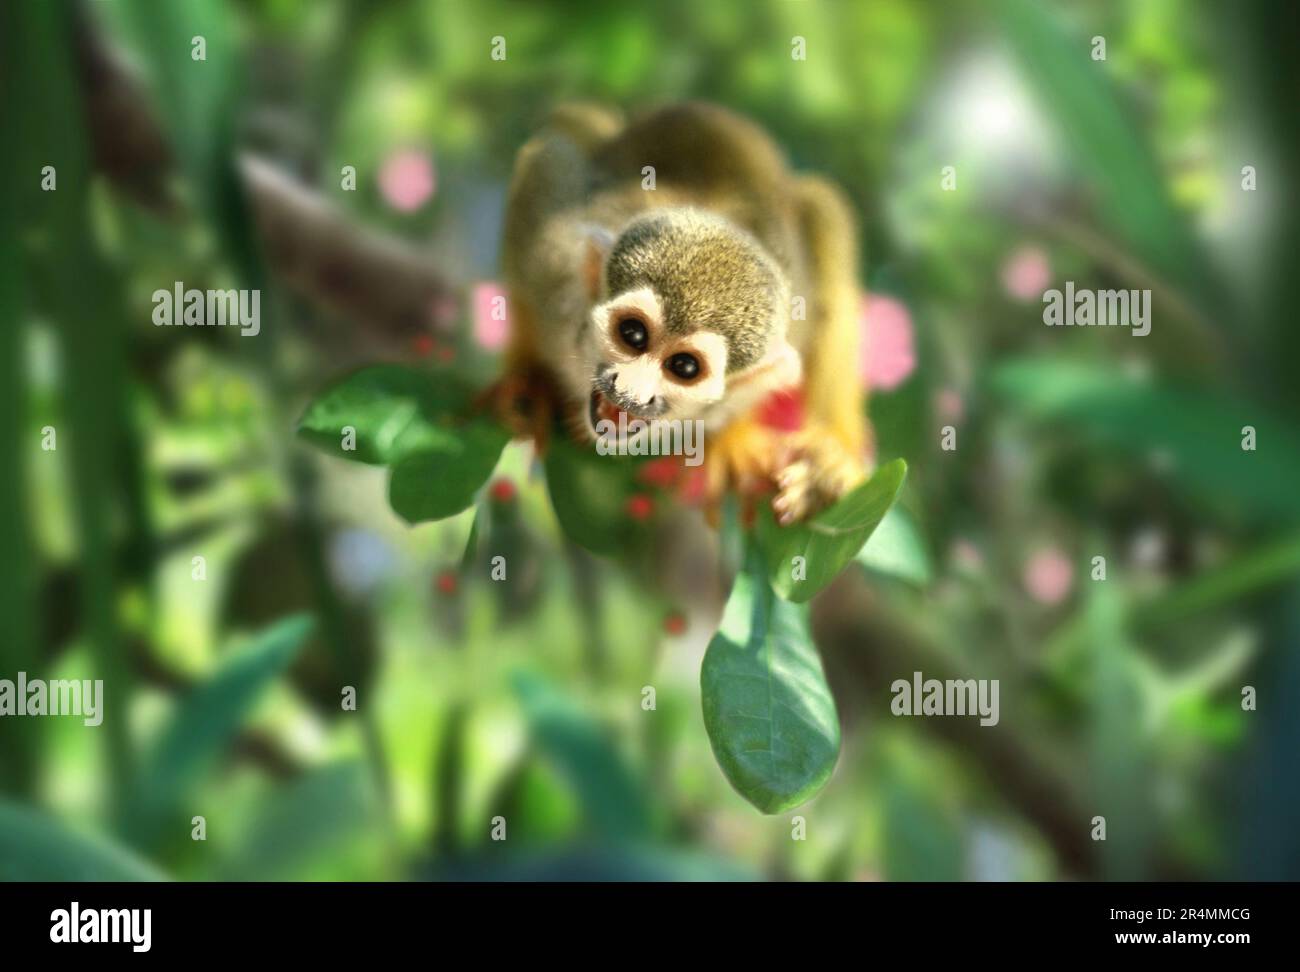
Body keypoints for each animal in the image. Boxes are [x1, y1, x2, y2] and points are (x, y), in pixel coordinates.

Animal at [490, 101, 869, 524]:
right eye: (633, 334)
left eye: (684, 367)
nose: (629, 389)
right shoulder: (552, 261)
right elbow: (545, 174)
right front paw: (533, 380)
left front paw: (732, 440)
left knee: (824, 215)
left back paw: (832, 456)